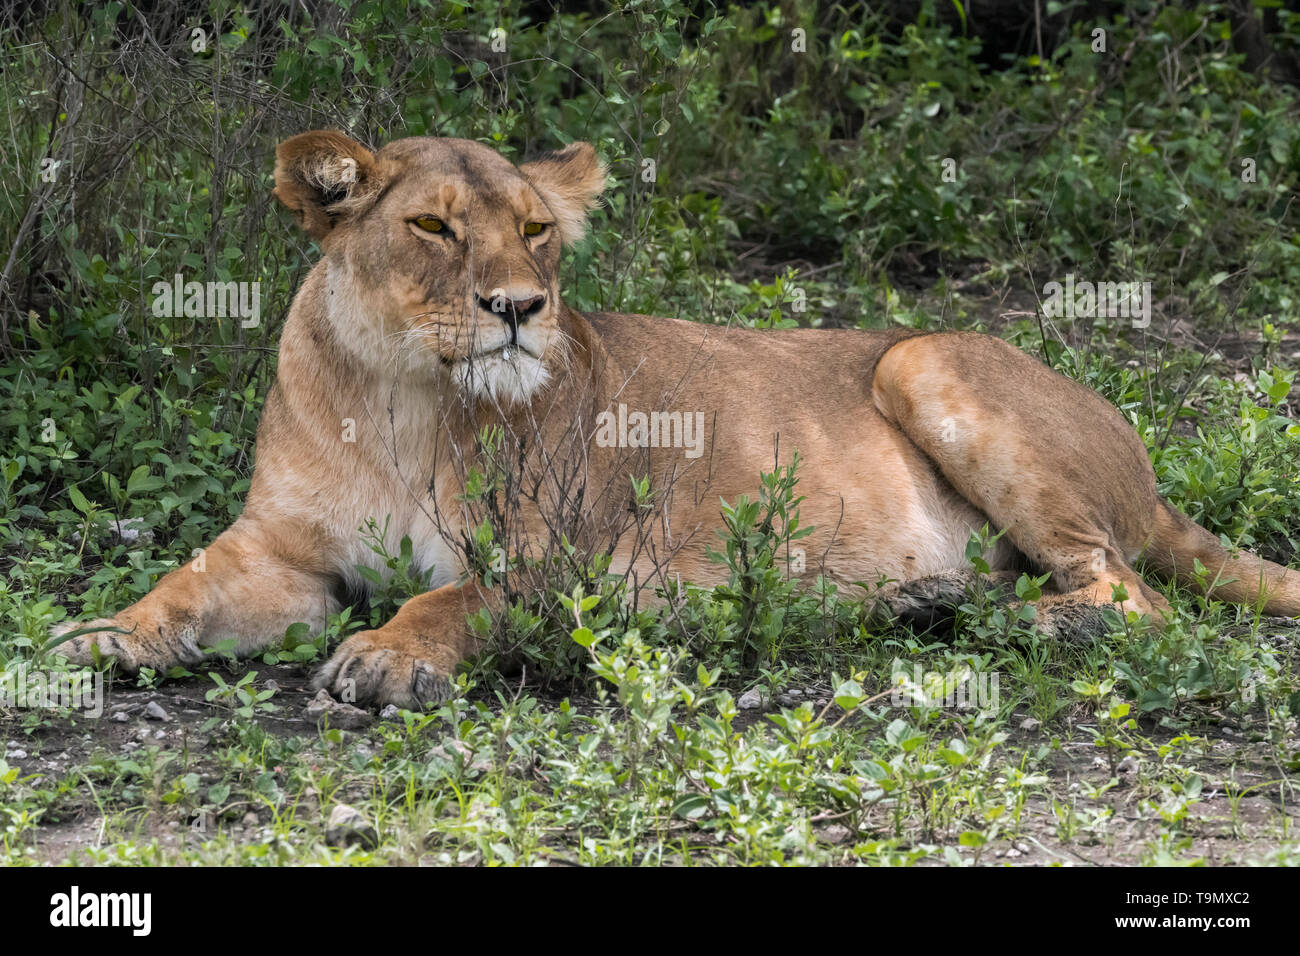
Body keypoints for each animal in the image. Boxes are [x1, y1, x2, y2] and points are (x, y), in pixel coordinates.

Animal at [54, 131, 1300, 709]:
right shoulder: (281, 552)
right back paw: (935, 602)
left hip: (923, 356)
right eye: (434, 228)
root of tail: (1147, 471)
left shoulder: (564, 563)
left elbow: (455, 595)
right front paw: (99, 637)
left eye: (535, 230)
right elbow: (185, 584)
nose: (521, 308)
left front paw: (390, 655)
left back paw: (1005, 625)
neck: (399, 394)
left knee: (1132, 596)